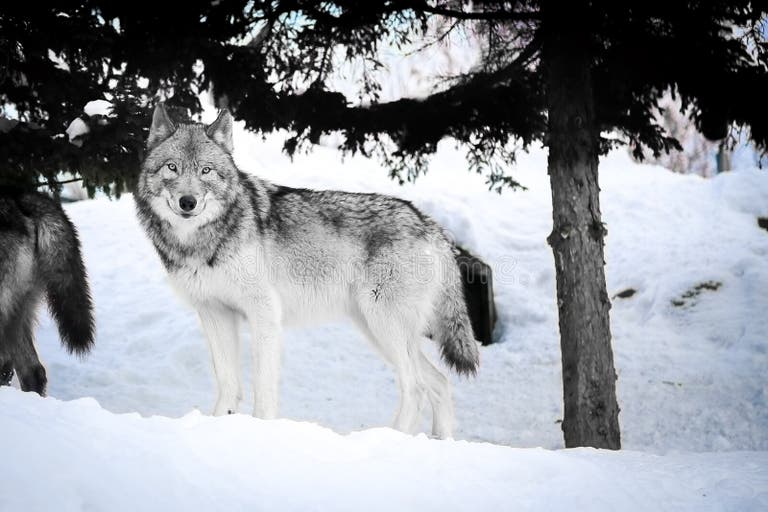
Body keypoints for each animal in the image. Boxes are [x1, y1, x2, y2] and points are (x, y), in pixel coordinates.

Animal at [135, 104, 479, 438]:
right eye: (172, 168)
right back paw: (441, 441)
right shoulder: (214, 313)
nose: (188, 202)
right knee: (439, 381)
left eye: (205, 171)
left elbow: (263, 386)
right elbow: (228, 383)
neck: (201, 242)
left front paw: (260, 429)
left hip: (384, 326)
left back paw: (386, 438)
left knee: (416, 387)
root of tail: (430, 225)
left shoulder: (264, 313)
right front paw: (220, 425)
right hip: (377, 330)